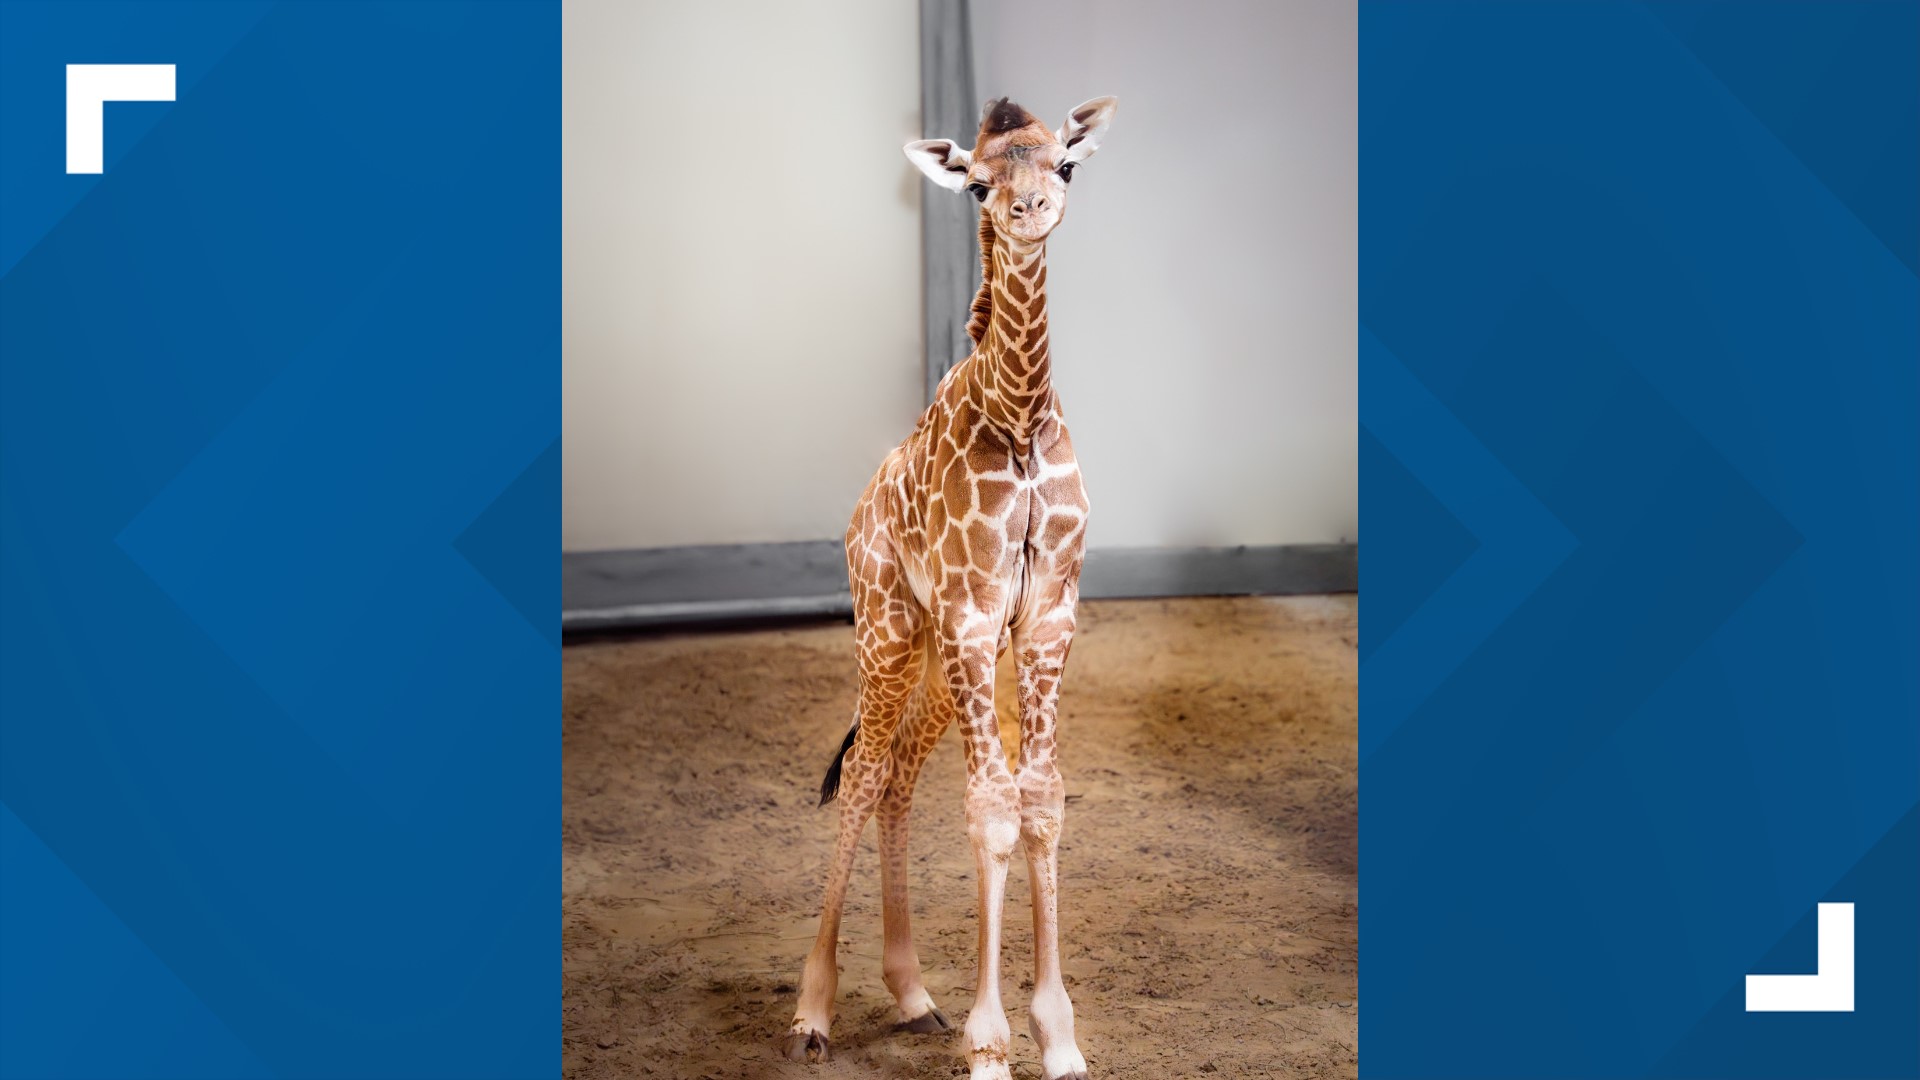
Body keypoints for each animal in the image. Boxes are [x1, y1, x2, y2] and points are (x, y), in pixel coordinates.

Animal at [780, 95, 1118, 1080]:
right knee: (861, 772)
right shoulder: (974, 616)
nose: (1029, 212)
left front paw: (1060, 1038)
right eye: (976, 181)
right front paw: (992, 1043)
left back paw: (912, 993)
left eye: (1064, 165)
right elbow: (991, 810)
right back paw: (813, 1011)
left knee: (895, 772)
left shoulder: (1045, 619)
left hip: (933, 655)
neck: (1022, 416)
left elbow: (1041, 801)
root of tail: (861, 507)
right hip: (889, 626)